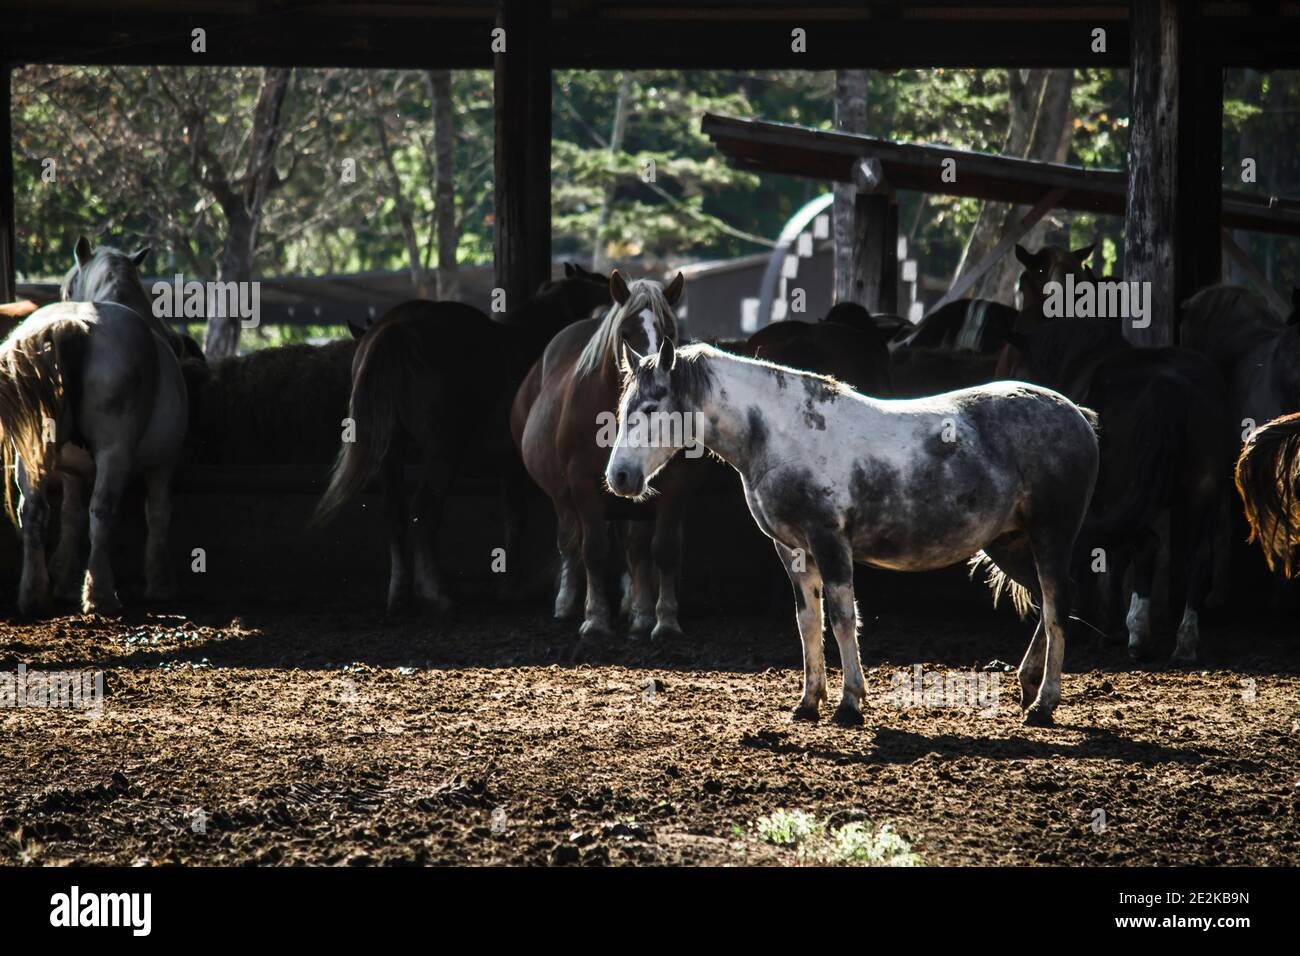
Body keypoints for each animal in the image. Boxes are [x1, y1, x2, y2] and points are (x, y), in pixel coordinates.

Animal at [0, 239, 192, 615]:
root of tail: (70, 328)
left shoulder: (71, 473)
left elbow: (70, 515)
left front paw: (62, 580)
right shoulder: (163, 464)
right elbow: (158, 514)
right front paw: (160, 584)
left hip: (29, 456)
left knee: (33, 511)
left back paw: (34, 594)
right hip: (114, 452)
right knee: (102, 511)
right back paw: (100, 594)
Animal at [314, 267, 610, 613]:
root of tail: (399, 328)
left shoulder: (509, 468)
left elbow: (514, 520)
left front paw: (510, 586)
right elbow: (523, 521)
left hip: (390, 455)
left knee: (395, 512)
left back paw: (400, 594)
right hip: (442, 453)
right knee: (424, 510)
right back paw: (435, 592)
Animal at [513, 270, 686, 641]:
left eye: (669, 334)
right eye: (626, 334)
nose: (655, 383)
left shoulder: (672, 486)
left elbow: (663, 550)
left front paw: (663, 619)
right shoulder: (582, 484)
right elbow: (593, 550)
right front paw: (594, 619)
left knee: (635, 547)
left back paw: (637, 611)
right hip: (562, 496)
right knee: (569, 542)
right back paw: (566, 603)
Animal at [605, 338, 1099, 728]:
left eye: (651, 409)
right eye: (624, 409)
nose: (620, 477)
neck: (783, 436)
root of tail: (1075, 414)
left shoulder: (830, 543)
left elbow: (843, 619)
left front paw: (849, 704)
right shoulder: (793, 550)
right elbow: (808, 622)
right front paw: (808, 703)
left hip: (1051, 535)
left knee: (1056, 606)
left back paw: (1043, 704)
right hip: (1009, 544)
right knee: (1051, 603)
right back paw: (1027, 684)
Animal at [1004, 319, 1232, 663]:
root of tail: (1168, 384)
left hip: (1124, 495)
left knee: (1143, 545)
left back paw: (1136, 633)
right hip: (1203, 491)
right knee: (1198, 555)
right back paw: (1184, 642)